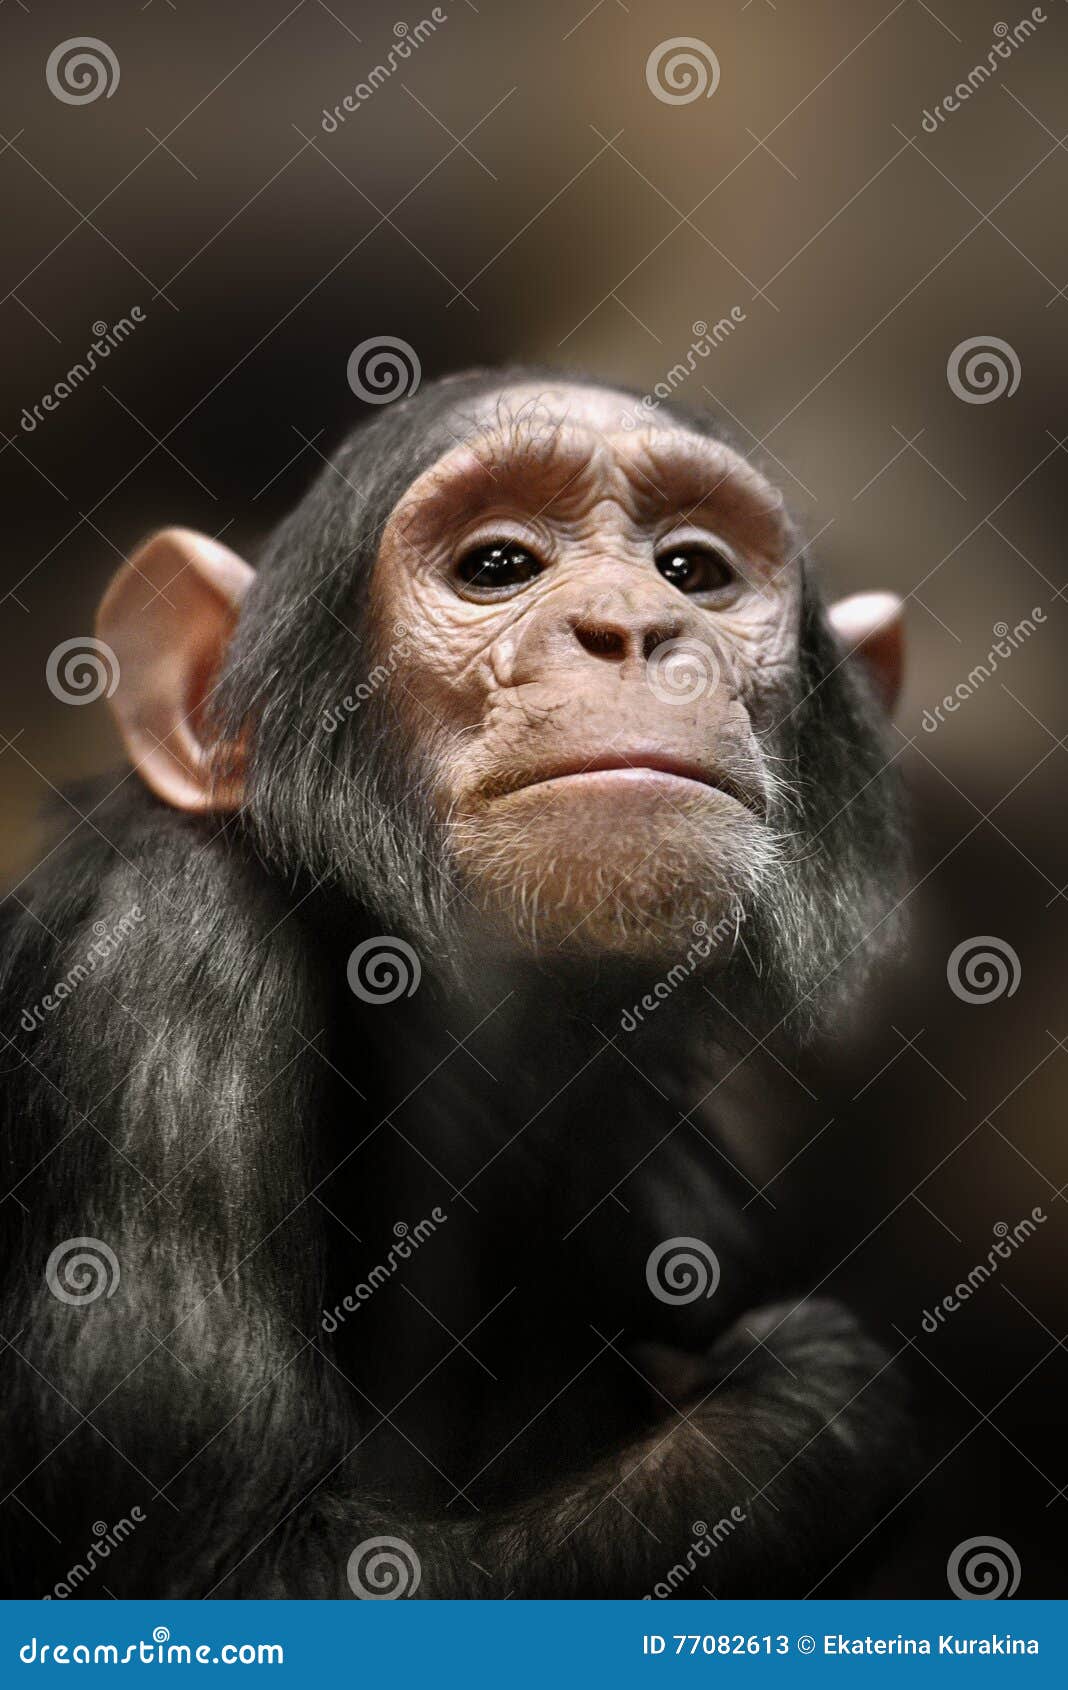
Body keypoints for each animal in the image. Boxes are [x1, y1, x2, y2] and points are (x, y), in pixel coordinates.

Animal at [0, 369, 912, 1599]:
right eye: (498, 565)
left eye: (692, 570)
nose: (634, 628)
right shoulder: (156, 973)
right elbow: (229, 1563)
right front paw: (816, 1416)